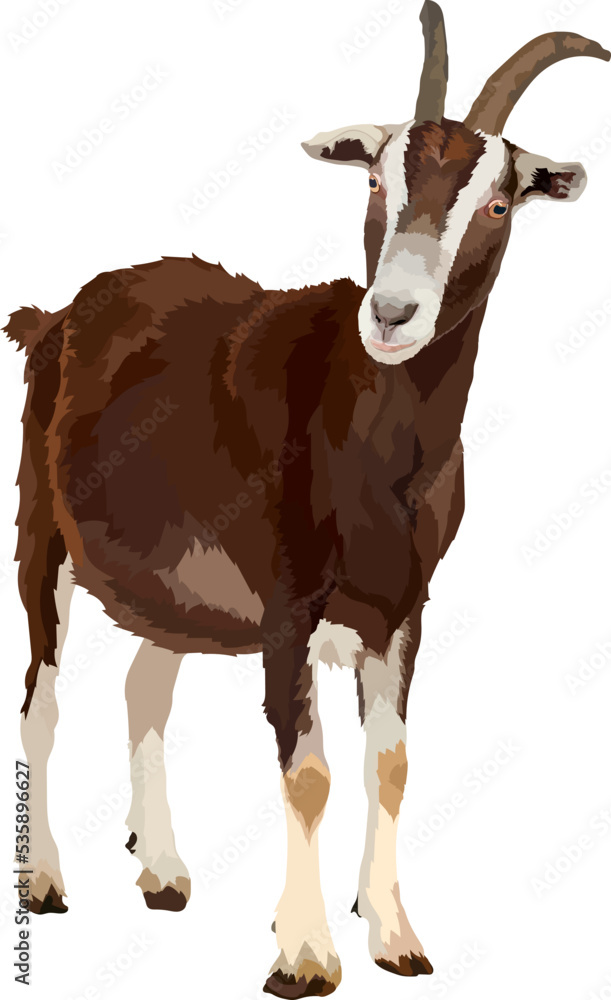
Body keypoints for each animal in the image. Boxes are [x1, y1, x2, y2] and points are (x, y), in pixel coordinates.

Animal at [6, 3, 609, 996]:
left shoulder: (403, 607)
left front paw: (393, 933)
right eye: (373, 180)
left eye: (496, 202)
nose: (392, 314)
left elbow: (390, 763)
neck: (377, 451)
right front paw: (304, 954)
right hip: (39, 533)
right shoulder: (288, 604)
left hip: (171, 588)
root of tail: (55, 317)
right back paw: (46, 881)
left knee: (144, 684)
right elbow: (309, 773)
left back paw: (162, 870)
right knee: (42, 698)